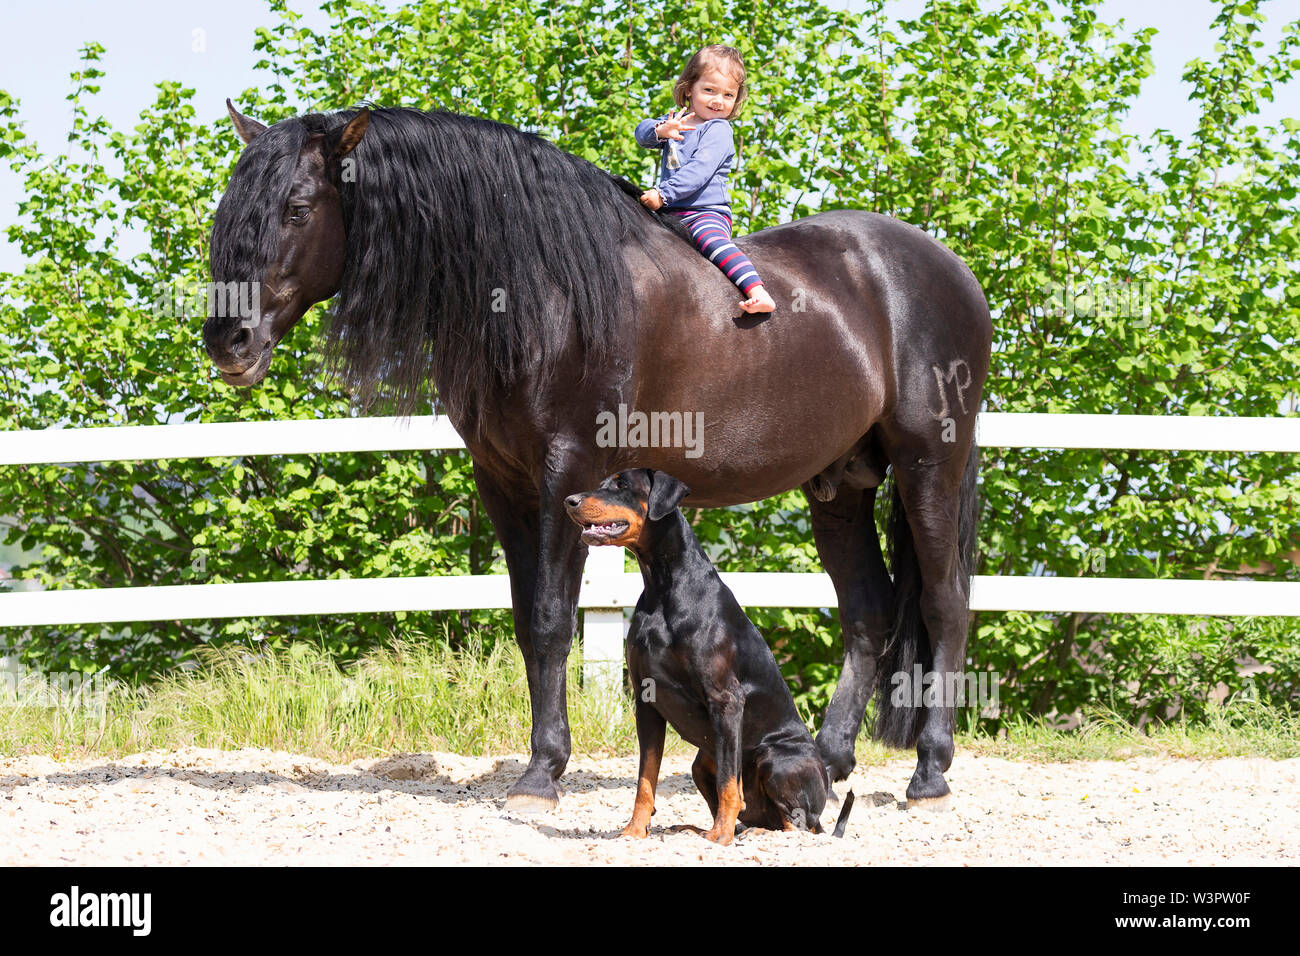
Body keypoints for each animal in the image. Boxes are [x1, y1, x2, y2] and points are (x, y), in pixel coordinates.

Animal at [203, 102, 992, 812]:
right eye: (227, 211)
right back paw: (826, 761)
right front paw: (541, 760)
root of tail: (948, 268)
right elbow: (528, 622)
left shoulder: (570, 473)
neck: (539, 291)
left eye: (298, 208)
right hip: (839, 484)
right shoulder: (503, 482)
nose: (226, 340)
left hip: (929, 466)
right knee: (868, 612)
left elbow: (555, 618)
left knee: (944, 602)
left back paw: (929, 773)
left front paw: (540, 775)